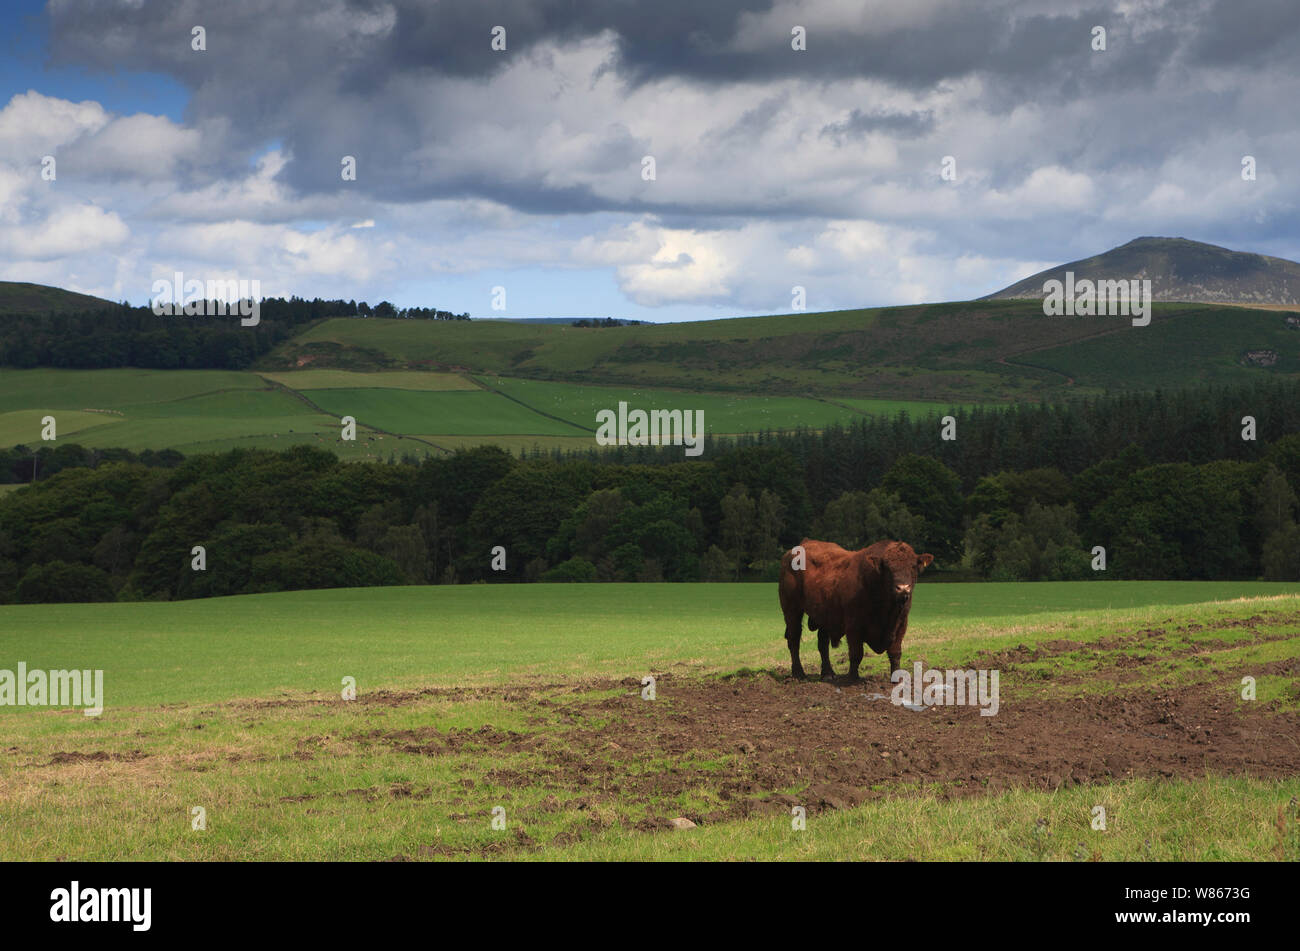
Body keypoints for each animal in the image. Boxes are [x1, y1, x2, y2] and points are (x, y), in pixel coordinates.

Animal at [779, 538, 933, 682]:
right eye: (888, 568)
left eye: (913, 566)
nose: (903, 588)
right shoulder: (853, 626)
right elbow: (856, 653)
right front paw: (853, 678)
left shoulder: (901, 624)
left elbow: (895, 652)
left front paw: (897, 678)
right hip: (792, 611)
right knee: (794, 640)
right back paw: (799, 673)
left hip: (824, 616)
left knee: (822, 643)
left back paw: (828, 674)